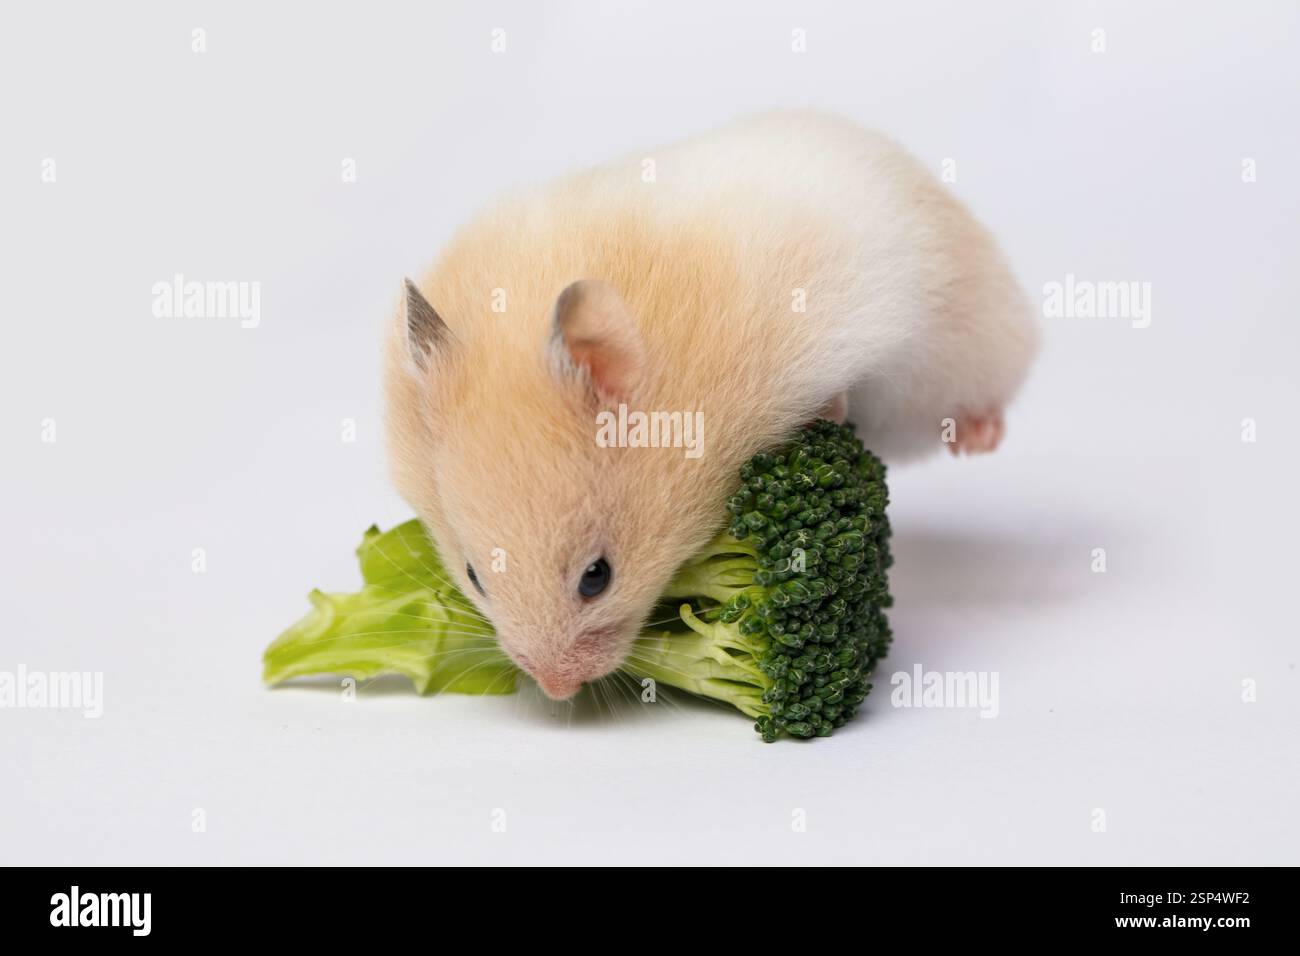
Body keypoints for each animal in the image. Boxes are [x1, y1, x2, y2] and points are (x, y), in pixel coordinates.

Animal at [384, 110, 1038, 700]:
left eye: (597, 578)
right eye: (474, 577)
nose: (556, 690)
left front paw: (829, 411)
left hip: (967, 343)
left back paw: (979, 436)